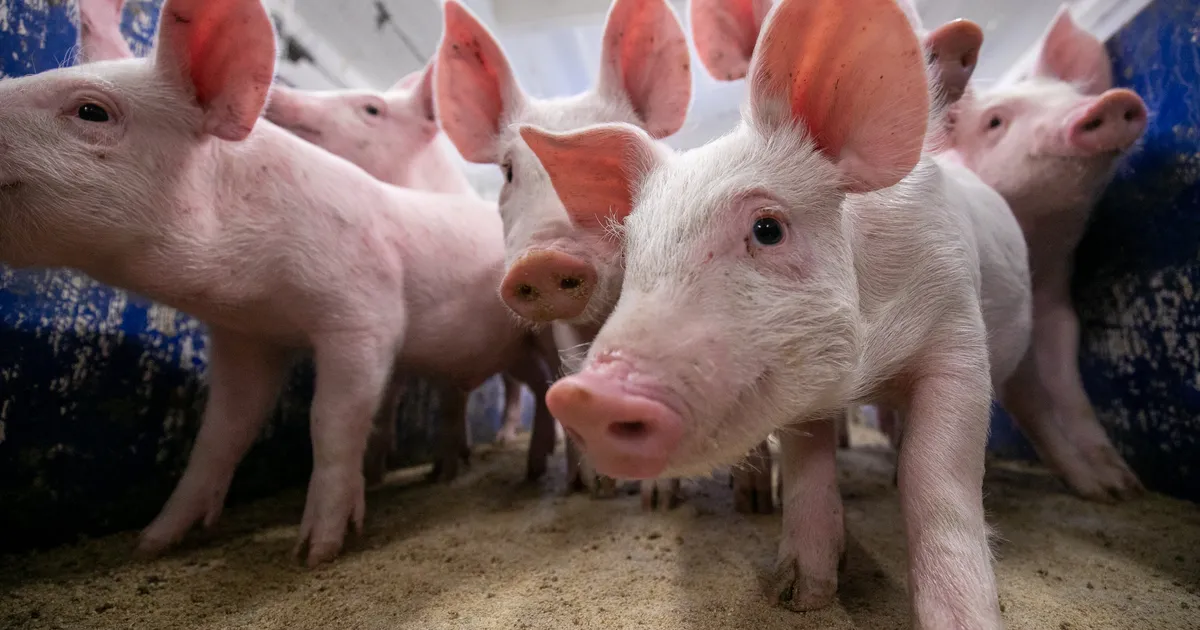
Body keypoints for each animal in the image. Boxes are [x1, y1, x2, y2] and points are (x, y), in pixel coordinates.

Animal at [0, 0, 557, 566]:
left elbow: (332, 420)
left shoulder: (365, 314)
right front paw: (152, 544)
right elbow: (222, 433)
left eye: (91, 112)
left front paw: (315, 553)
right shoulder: (245, 336)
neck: (256, 292)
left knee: (542, 386)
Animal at [519, 0, 1020, 624]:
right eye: (633, 250)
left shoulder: (959, 334)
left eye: (767, 229)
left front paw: (966, 622)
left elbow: (935, 473)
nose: (587, 395)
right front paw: (799, 596)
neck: (866, 368)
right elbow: (809, 465)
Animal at [942, 5, 1147, 501]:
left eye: (1072, 95)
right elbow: (1030, 397)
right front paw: (1095, 490)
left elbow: (1071, 388)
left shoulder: (1056, 298)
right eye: (995, 122)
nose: (1108, 103)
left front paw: (1124, 485)